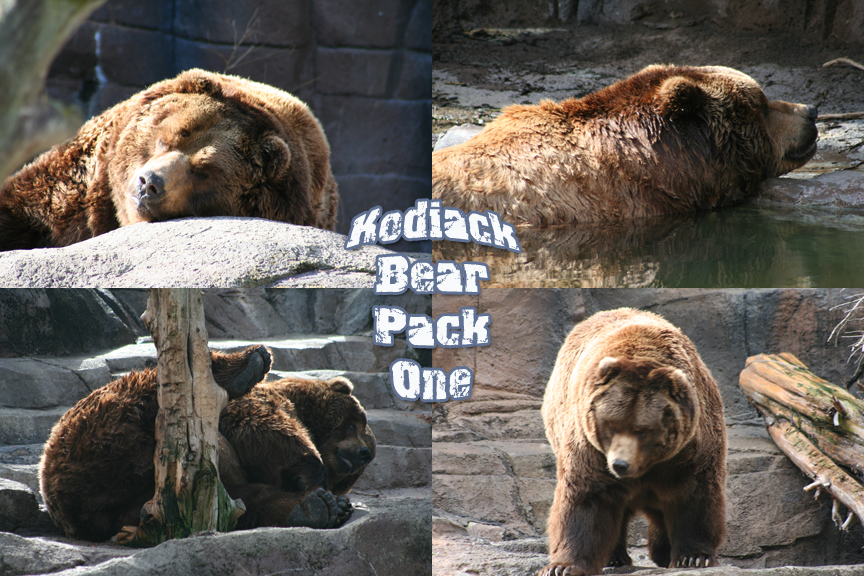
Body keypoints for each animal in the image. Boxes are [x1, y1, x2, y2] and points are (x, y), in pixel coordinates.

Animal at [39, 345, 375, 542]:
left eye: (368, 452)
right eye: (353, 424)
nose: (362, 453)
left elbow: (251, 502)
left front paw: (327, 505)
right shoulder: (258, 407)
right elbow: (263, 426)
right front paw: (314, 478)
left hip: (123, 490)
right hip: (99, 428)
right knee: (165, 382)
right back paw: (248, 363)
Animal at [540, 308, 726, 576]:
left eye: (643, 430)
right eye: (611, 425)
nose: (620, 465)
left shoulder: (689, 450)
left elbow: (694, 494)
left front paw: (693, 557)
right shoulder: (590, 449)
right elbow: (587, 499)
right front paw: (562, 566)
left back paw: (661, 550)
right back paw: (614, 557)